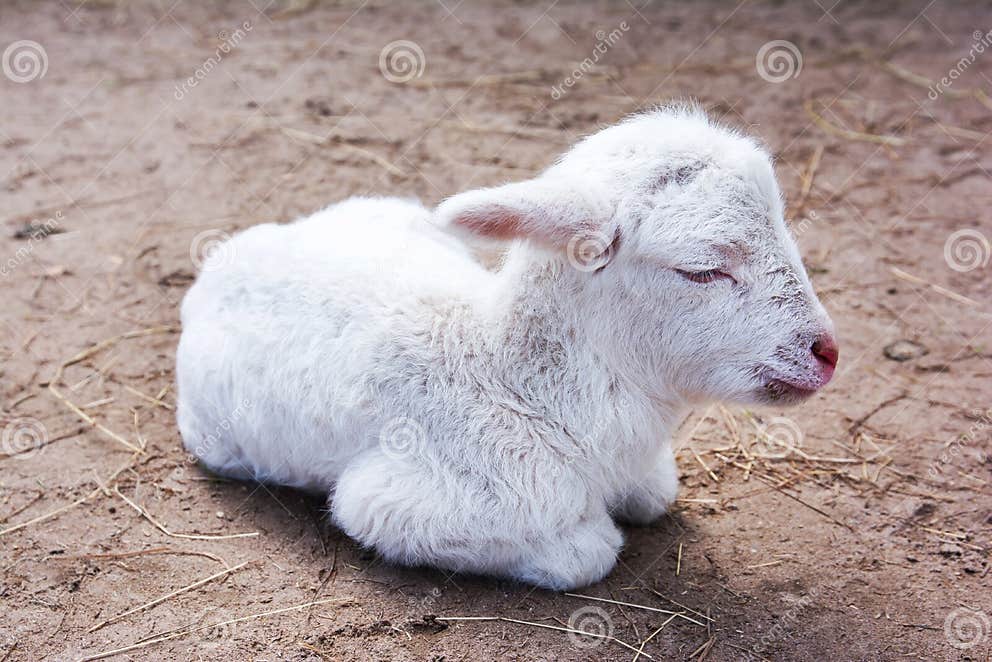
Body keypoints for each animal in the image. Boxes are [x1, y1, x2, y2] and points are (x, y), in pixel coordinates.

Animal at [176, 107, 838, 590]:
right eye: (701, 270)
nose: (825, 353)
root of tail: (228, 256)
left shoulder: (645, 477)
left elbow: (655, 495)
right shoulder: (392, 502)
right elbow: (588, 553)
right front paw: (589, 539)